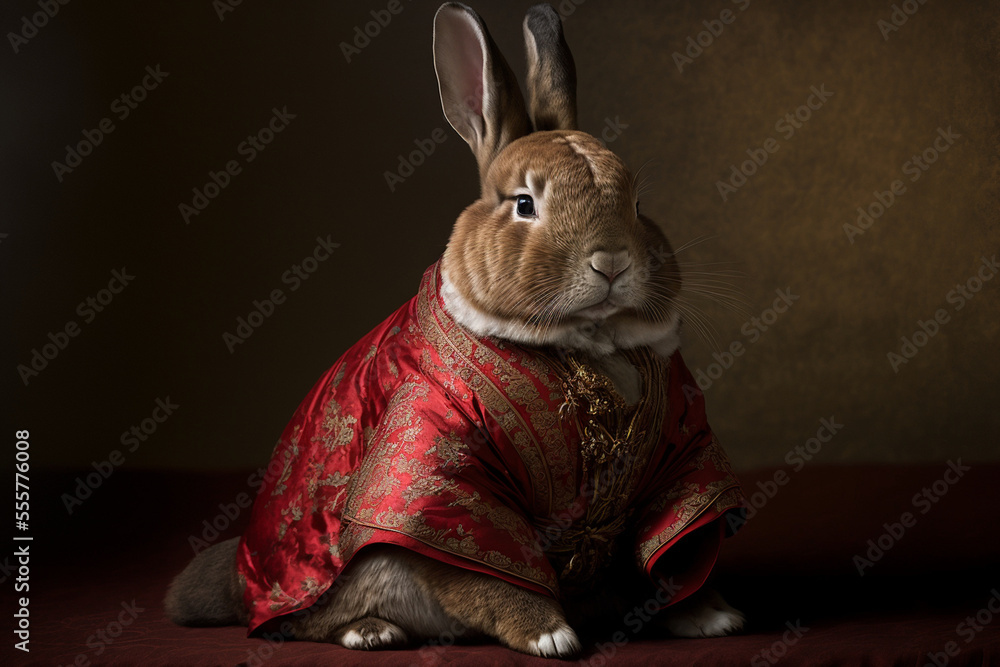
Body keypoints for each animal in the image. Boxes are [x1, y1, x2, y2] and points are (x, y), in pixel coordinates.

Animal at [165, 2, 747, 659]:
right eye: (524, 204)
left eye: (639, 203)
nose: (611, 261)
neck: (584, 342)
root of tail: (241, 574)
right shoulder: (436, 469)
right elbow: (478, 565)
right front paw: (549, 635)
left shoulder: (678, 461)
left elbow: (675, 550)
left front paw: (712, 616)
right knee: (316, 619)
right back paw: (371, 631)